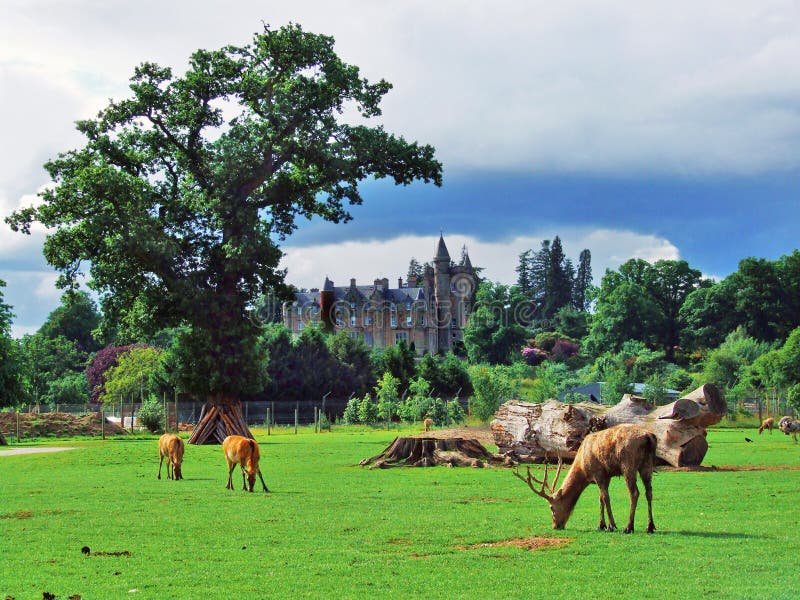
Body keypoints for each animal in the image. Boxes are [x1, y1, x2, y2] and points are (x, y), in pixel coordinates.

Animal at [514, 424, 657, 534]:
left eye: (551, 508)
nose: (555, 526)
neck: (583, 469)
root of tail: (649, 437)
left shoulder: (599, 472)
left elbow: (606, 498)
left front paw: (611, 526)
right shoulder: (606, 476)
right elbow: (601, 498)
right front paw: (601, 525)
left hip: (628, 464)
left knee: (634, 492)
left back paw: (628, 527)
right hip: (647, 464)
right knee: (649, 492)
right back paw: (650, 527)